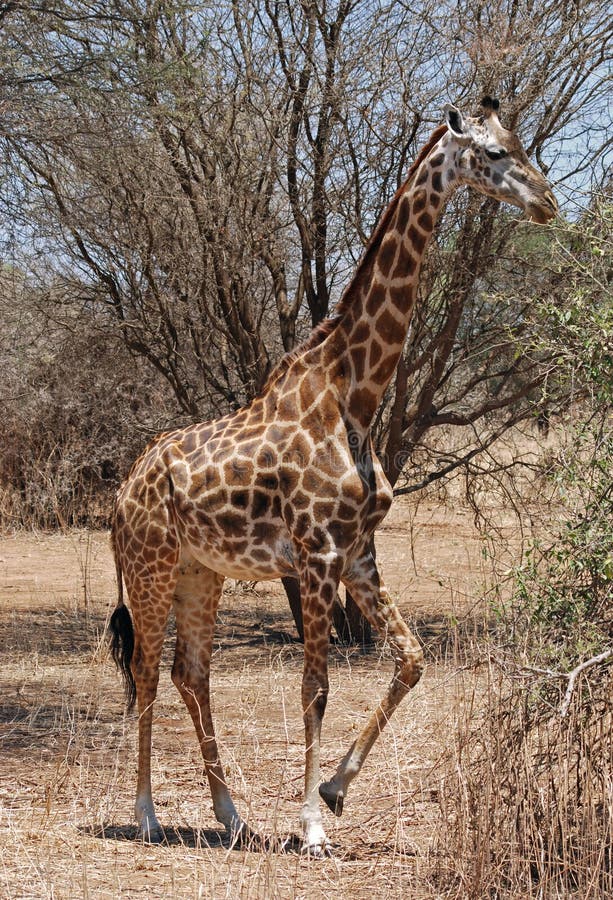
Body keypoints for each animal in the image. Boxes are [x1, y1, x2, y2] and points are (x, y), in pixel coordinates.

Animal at [109, 97, 557, 855]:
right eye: (495, 154)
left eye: (521, 143)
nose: (548, 202)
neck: (356, 393)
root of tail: (119, 491)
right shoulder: (317, 554)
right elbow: (314, 686)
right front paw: (312, 826)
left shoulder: (358, 554)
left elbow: (411, 659)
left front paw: (333, 791)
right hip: (152, 565)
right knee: (144, 672)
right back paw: (146, 815)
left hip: (203, 570)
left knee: (189, 672)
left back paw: (232, 816)